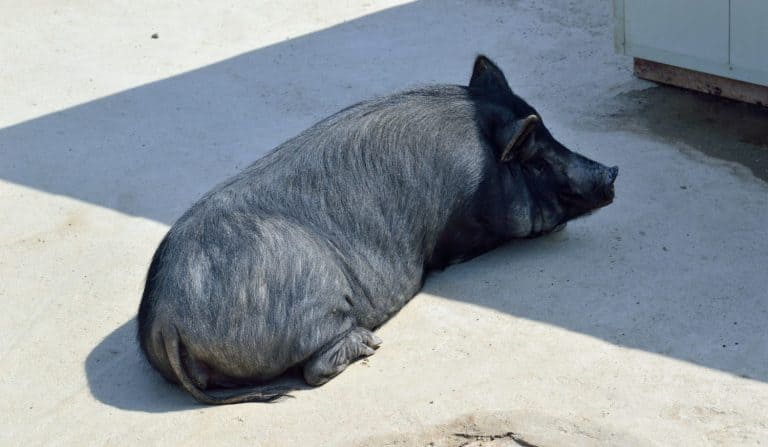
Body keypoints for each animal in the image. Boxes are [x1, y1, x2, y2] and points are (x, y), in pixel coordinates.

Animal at [137, 55, 618, 405]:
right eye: (538, 161)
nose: (612, 172)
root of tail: (165, 319)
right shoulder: (460, 229)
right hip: (314, 300)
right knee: (312, 369)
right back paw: (369, 343)